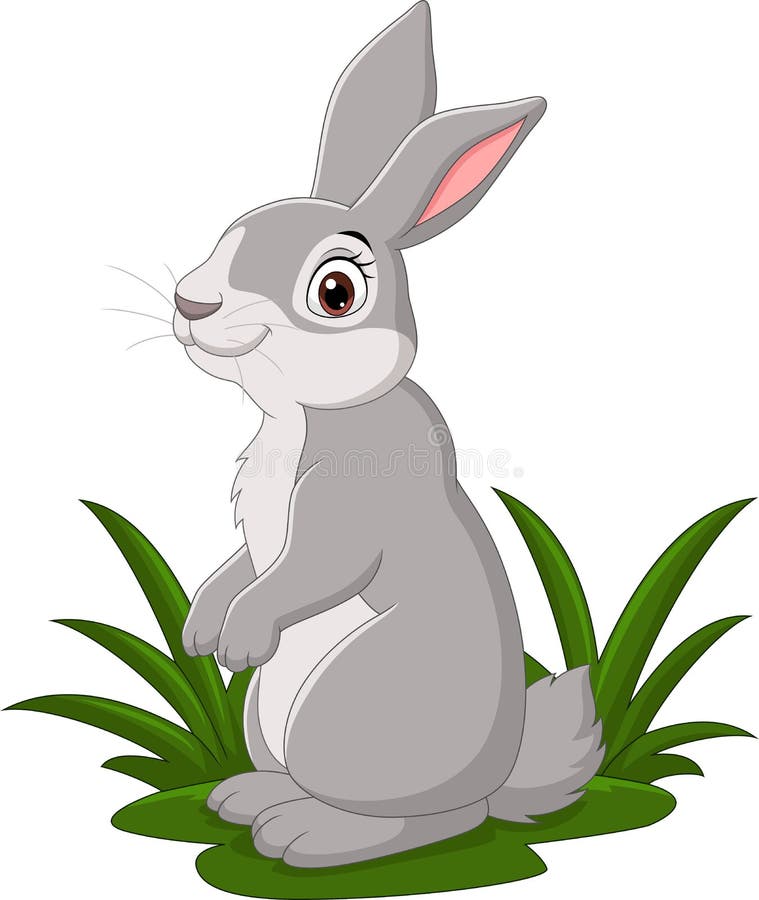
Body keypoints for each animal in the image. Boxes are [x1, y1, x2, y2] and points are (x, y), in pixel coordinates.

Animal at [175, 1, 603, 869]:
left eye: (335, 291)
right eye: (232, 232)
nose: (190, 303)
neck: (306, 409)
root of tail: (493, 782)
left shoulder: (346, 514)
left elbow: (308, 571)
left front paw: (238, 639)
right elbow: (238, 567)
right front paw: (202, 626)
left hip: (345, 707)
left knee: (428, 825)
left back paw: (306, 834)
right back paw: (247, 799)